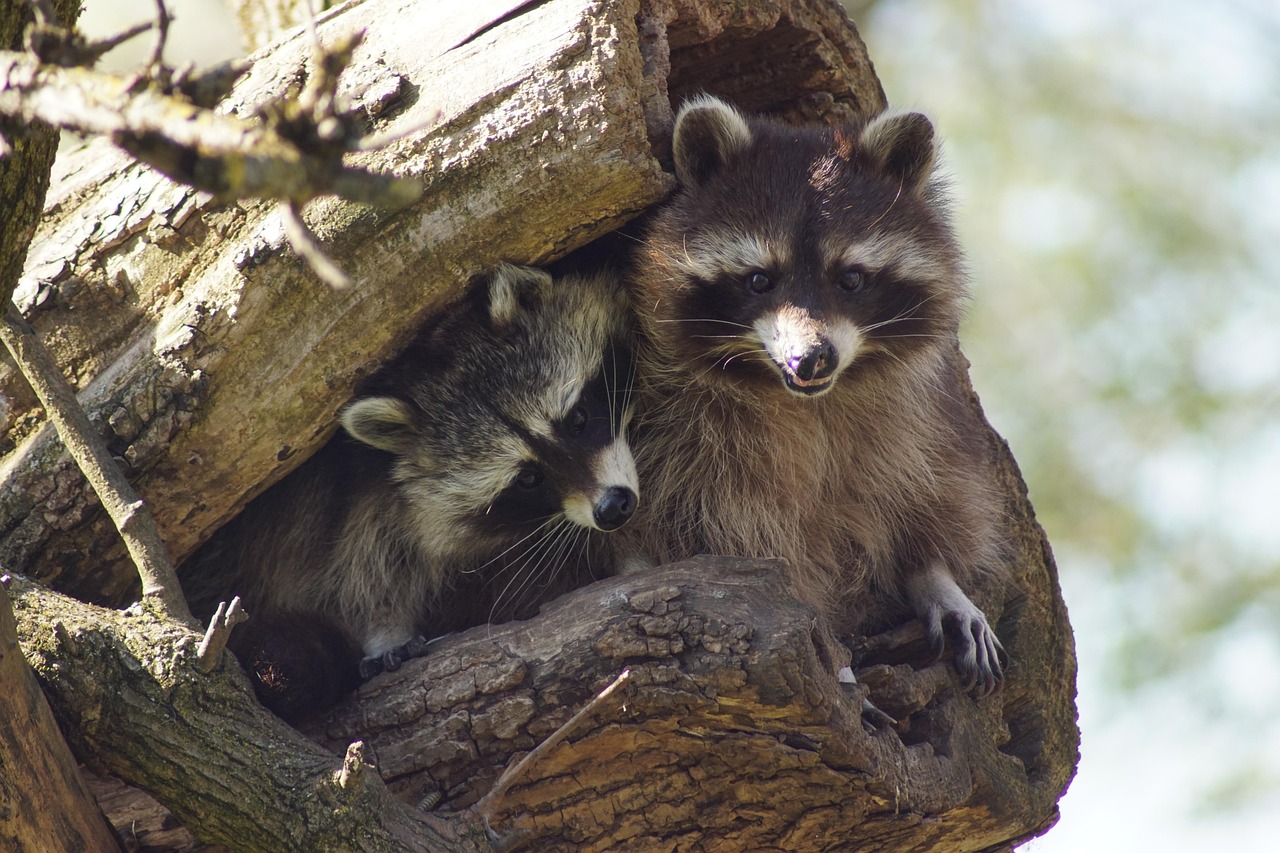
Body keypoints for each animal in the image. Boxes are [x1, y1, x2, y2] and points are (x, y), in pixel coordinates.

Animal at [181, 264, 638, 717]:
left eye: (577, 419)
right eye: (528, 478)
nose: (612, 507)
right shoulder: (357, 479)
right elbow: (372, 550)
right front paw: (384, 626)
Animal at [618, 96, 1005, 693]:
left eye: (850, 279)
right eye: (759, 280)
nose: (812, 358)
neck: (805, 399)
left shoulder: (923, 410)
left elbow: (931, 483)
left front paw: (934, 573)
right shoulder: (661, 412)